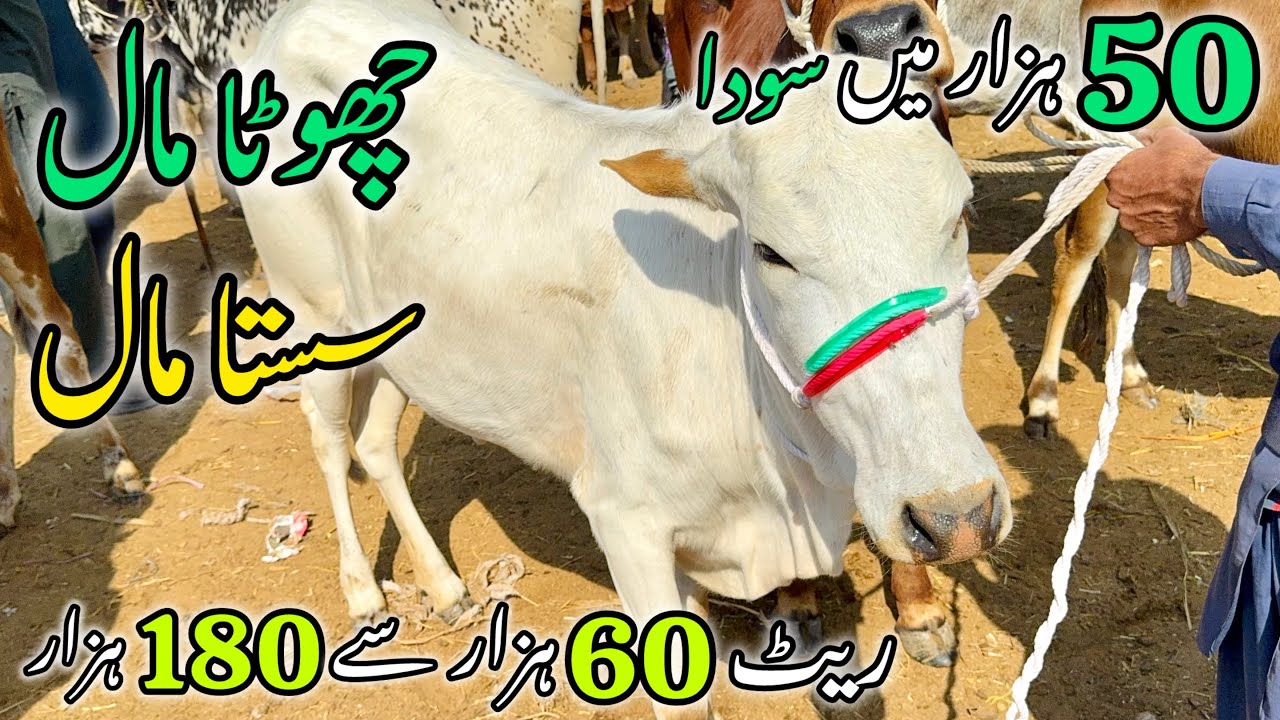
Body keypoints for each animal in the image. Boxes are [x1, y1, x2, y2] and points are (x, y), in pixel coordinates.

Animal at [239, 0, 1012, 707]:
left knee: (375, 444)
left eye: (961, 216)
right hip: (314, 312)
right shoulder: (626, 524)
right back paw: (362, 594)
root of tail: (293, 22)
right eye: (770, 251)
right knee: (330, 443)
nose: (954, 515)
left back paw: (443, 584)